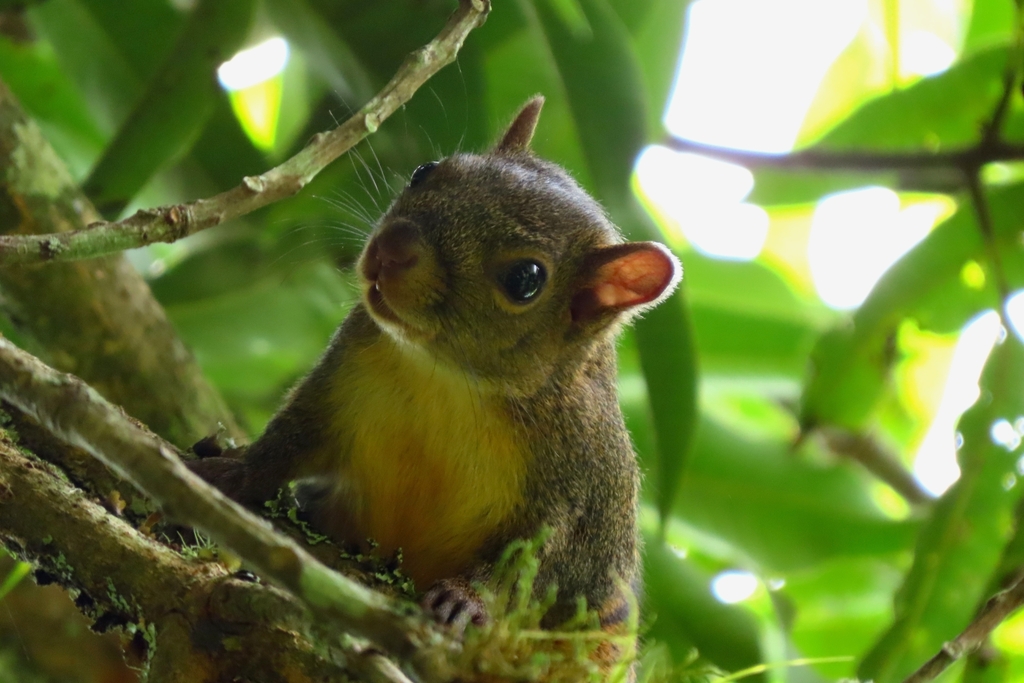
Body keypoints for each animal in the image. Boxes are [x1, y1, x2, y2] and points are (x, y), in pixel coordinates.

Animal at [189, 96, 681, 650]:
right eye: (426, 171)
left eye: (526, 279)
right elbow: (290, 440)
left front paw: (466, 598)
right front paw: (238, 470)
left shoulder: (579, 483)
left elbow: (532, 562)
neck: (448, 378)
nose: (393, 246)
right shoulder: (338, 380)